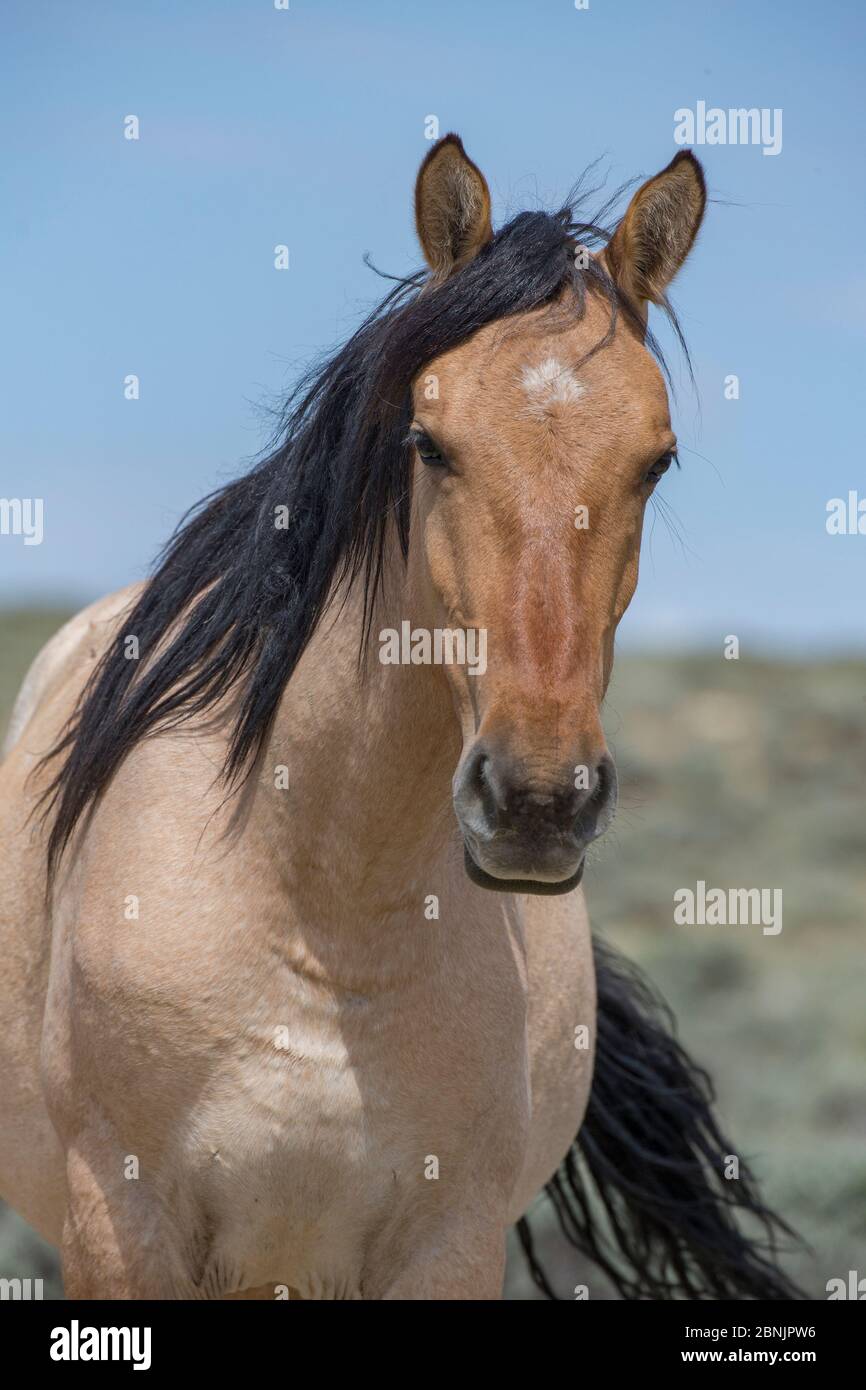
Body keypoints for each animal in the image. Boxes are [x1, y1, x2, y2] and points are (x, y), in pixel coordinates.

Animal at [0, 135, 802, 1300]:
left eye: (656, 461)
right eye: (428, 441)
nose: (536, 800)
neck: (325, 911)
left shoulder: (448, 1242)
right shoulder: (119, 1225)